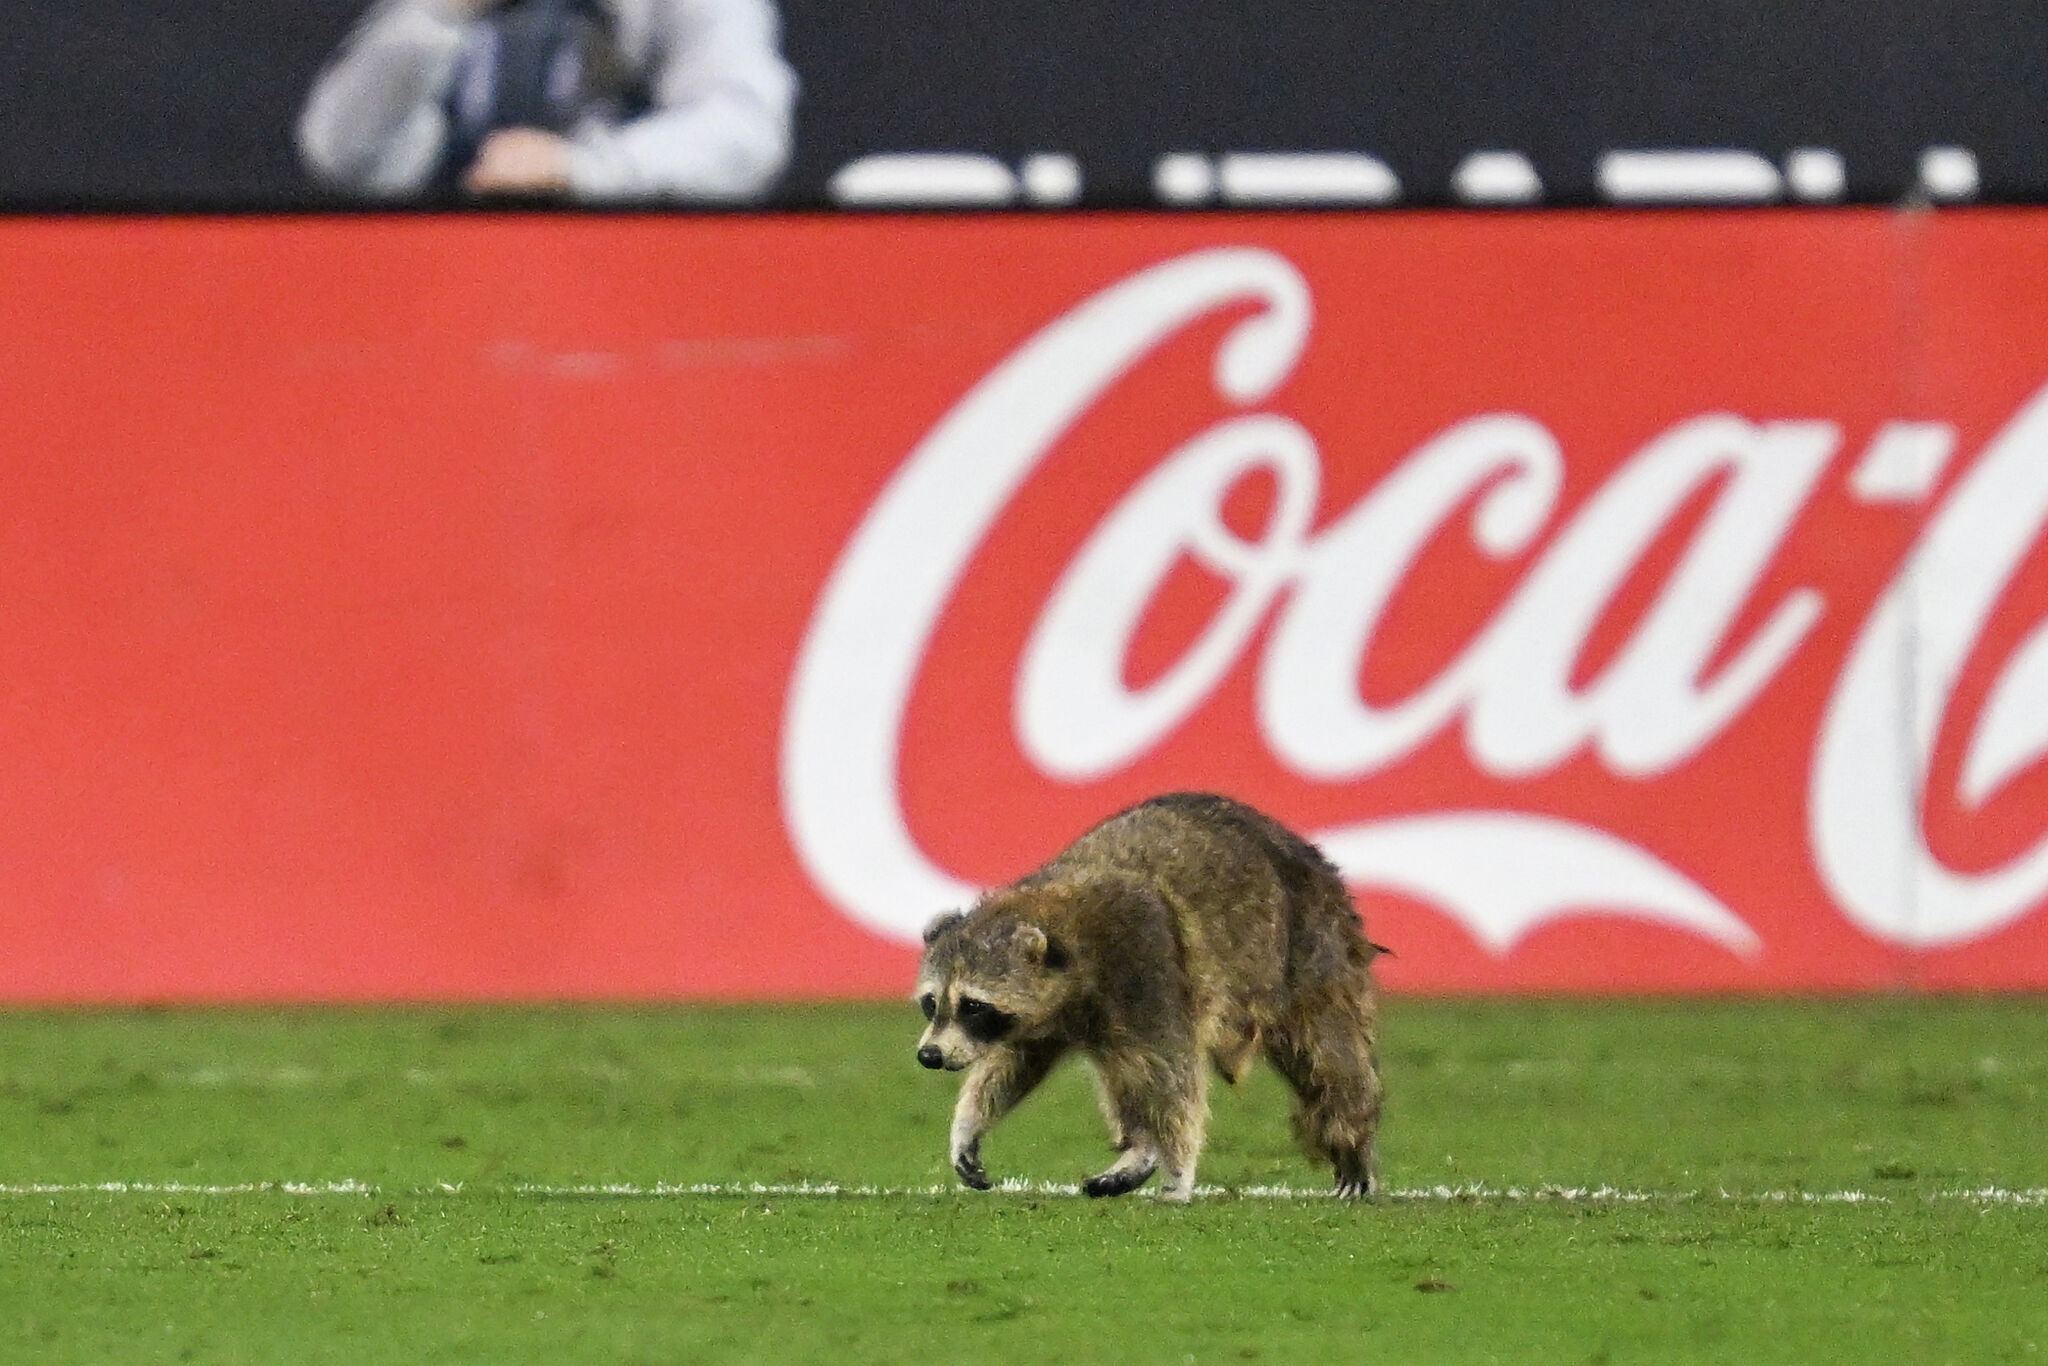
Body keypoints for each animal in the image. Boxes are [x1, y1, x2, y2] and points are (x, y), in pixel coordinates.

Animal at [914, 792, 1384, 1202]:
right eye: (931, 1003)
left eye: (973, 1005)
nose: (930, 1055)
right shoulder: (1042, 1015)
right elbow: (1015, 1063)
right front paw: (969, 1123)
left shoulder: (1146, 964)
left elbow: (1172, 1075)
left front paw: (1178, 1166)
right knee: (1120, 1068)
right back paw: (1138, 1147)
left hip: (1311, 943)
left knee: (1327, 1051)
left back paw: (1351, 1134)